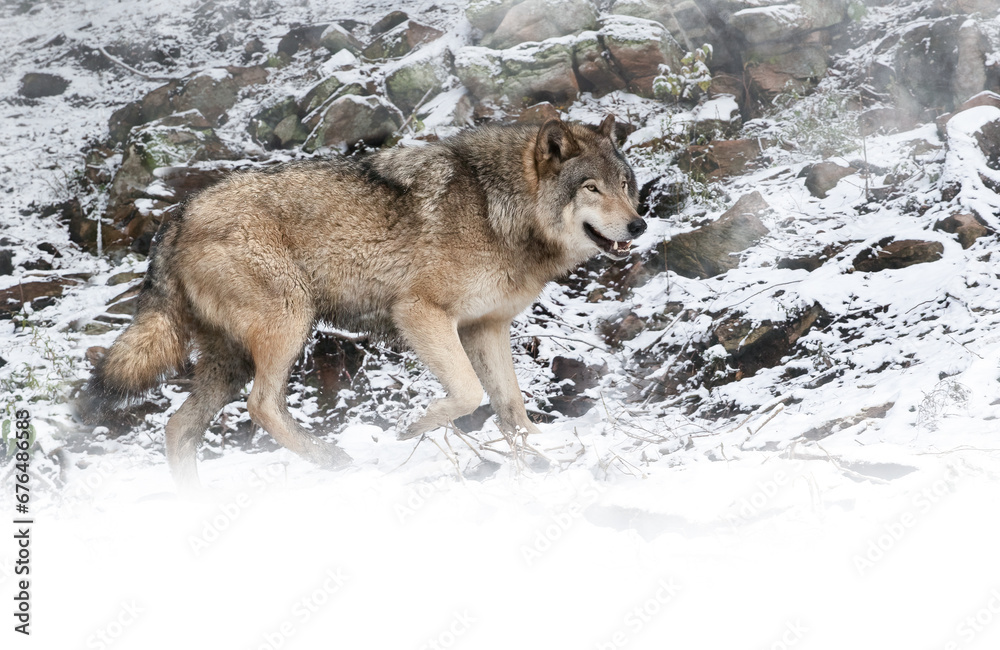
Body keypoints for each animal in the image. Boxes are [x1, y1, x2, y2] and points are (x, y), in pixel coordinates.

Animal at [85, 115, 646, 489]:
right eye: (591, 188)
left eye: (624, 184)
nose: (639, 224)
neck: (499, 211)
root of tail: (175, 217)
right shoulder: (420, 312)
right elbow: (469, 393)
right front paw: (414, 426)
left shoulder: (486, 327)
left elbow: (511, 405)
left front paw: (537, 457)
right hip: (290, 322)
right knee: (261, 405)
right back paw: (331, 459)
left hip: (231, 363)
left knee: (180, 428)